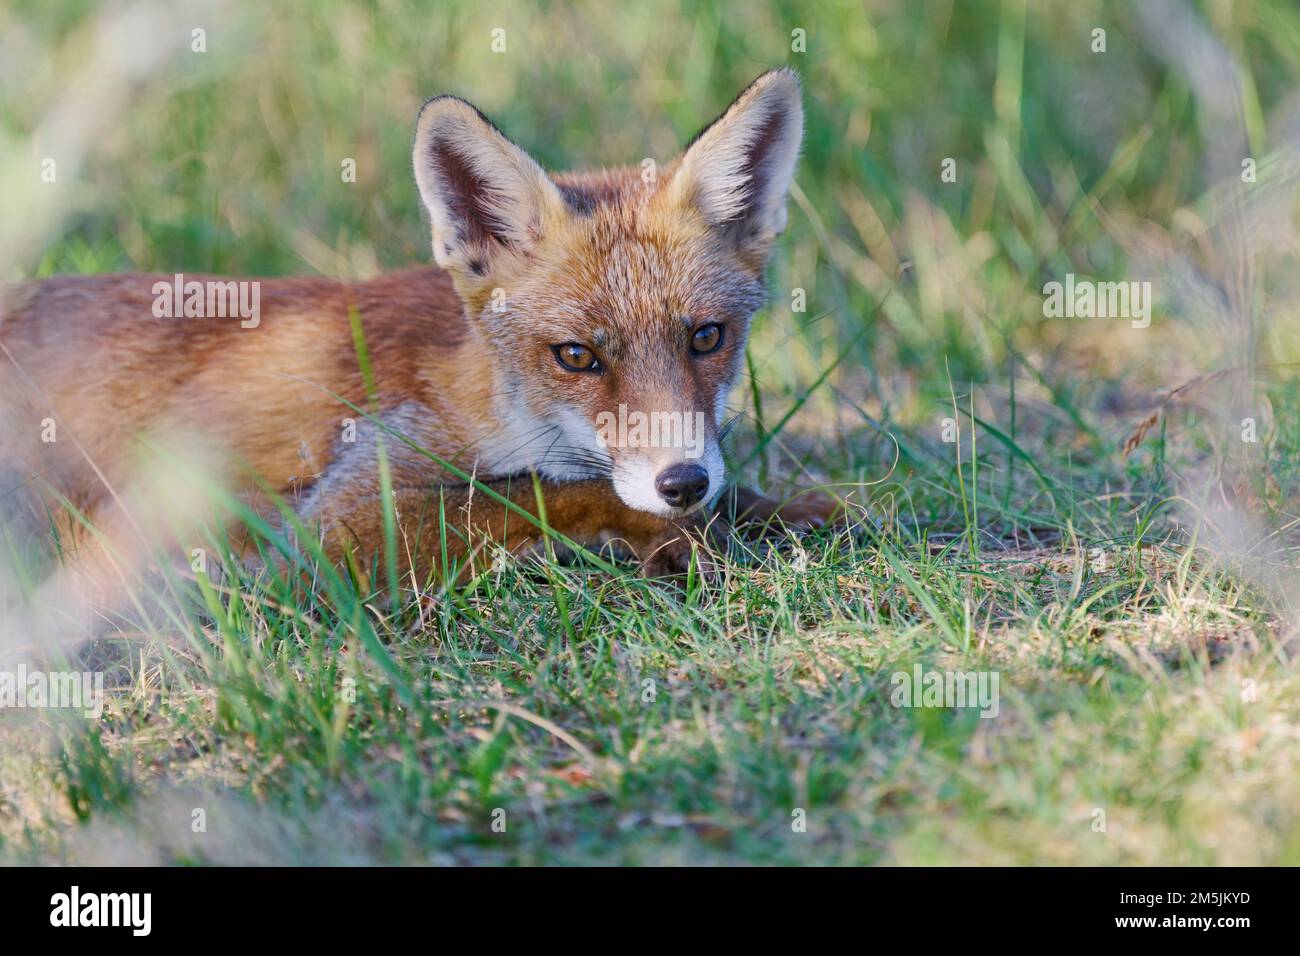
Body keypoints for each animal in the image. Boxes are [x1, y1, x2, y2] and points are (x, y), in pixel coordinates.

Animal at [0, 68, 843, 590]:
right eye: (576, 356)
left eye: (707, 338)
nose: (682, 481)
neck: (482, 404)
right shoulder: (339, 518)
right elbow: (530, 491)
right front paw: (658, 531)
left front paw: (799, 510)